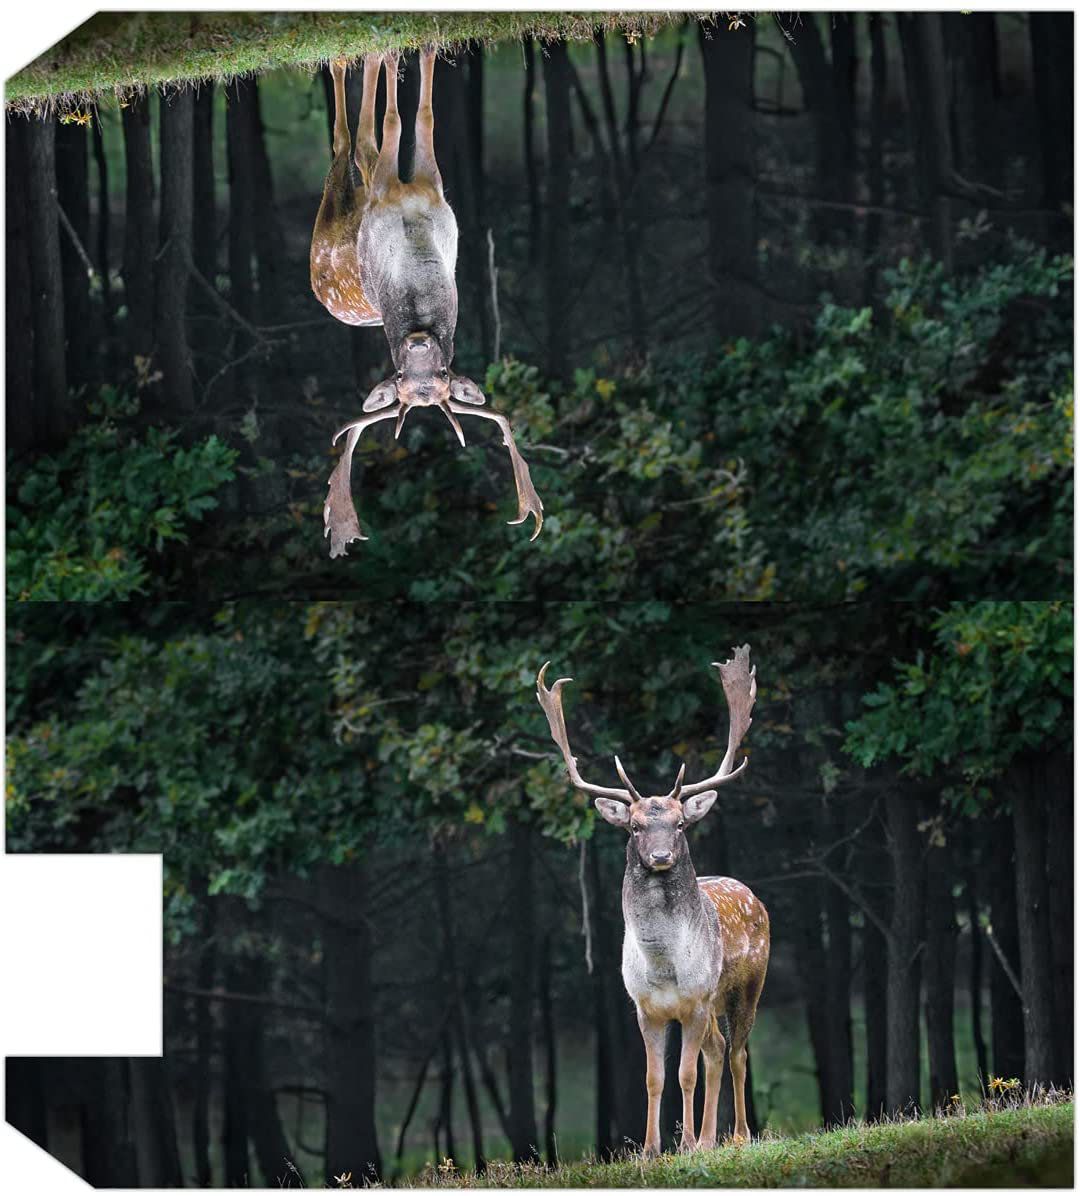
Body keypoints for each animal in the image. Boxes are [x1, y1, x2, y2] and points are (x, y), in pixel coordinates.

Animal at [311, 49, 544, 558]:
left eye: (442, 375)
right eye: (400, 377)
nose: (418, 344)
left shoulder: (429, 189)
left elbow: (417, 117)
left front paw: (414, 53)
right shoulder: (396, 193)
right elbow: (405, 118)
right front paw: (403, 54)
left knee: (357, 146)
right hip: (339, 212)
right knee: (351, 143)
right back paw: (353, 60)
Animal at [536, 645, 769, 1157]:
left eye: (680, 823)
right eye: (635, 826)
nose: (661, 856)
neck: (663, 966)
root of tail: (752, 895)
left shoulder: (695, 1000)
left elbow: (685, 1074)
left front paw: (685, 1144)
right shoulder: (645, 1008)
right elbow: (654, 1077)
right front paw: (650, 1148)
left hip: (747, 985)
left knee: (738, 1052)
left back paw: (737, 1135)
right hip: (713, 1004)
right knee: (718, 1050)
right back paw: (710, 1138)